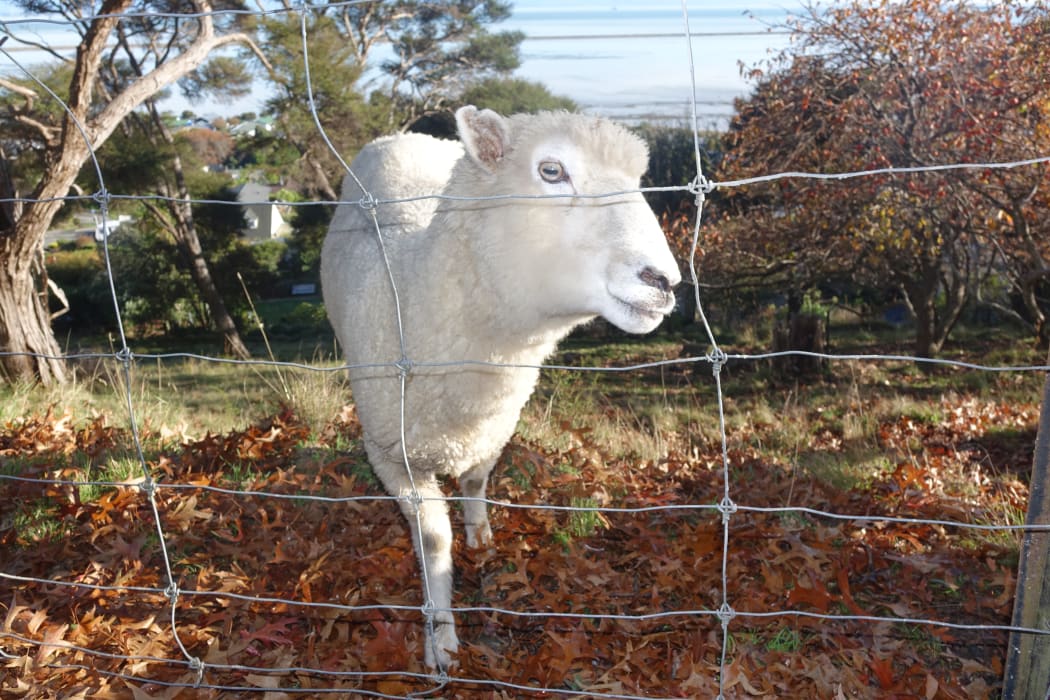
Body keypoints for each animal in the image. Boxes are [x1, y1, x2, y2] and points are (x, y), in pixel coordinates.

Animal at [320, 106, 681, 670]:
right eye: (551, 171)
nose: (664, 281)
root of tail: (406, 135)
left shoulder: (493, 426)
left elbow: (475, 480)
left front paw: (480, 533)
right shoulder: (390, 453)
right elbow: (433, 540)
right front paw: (441, 634)